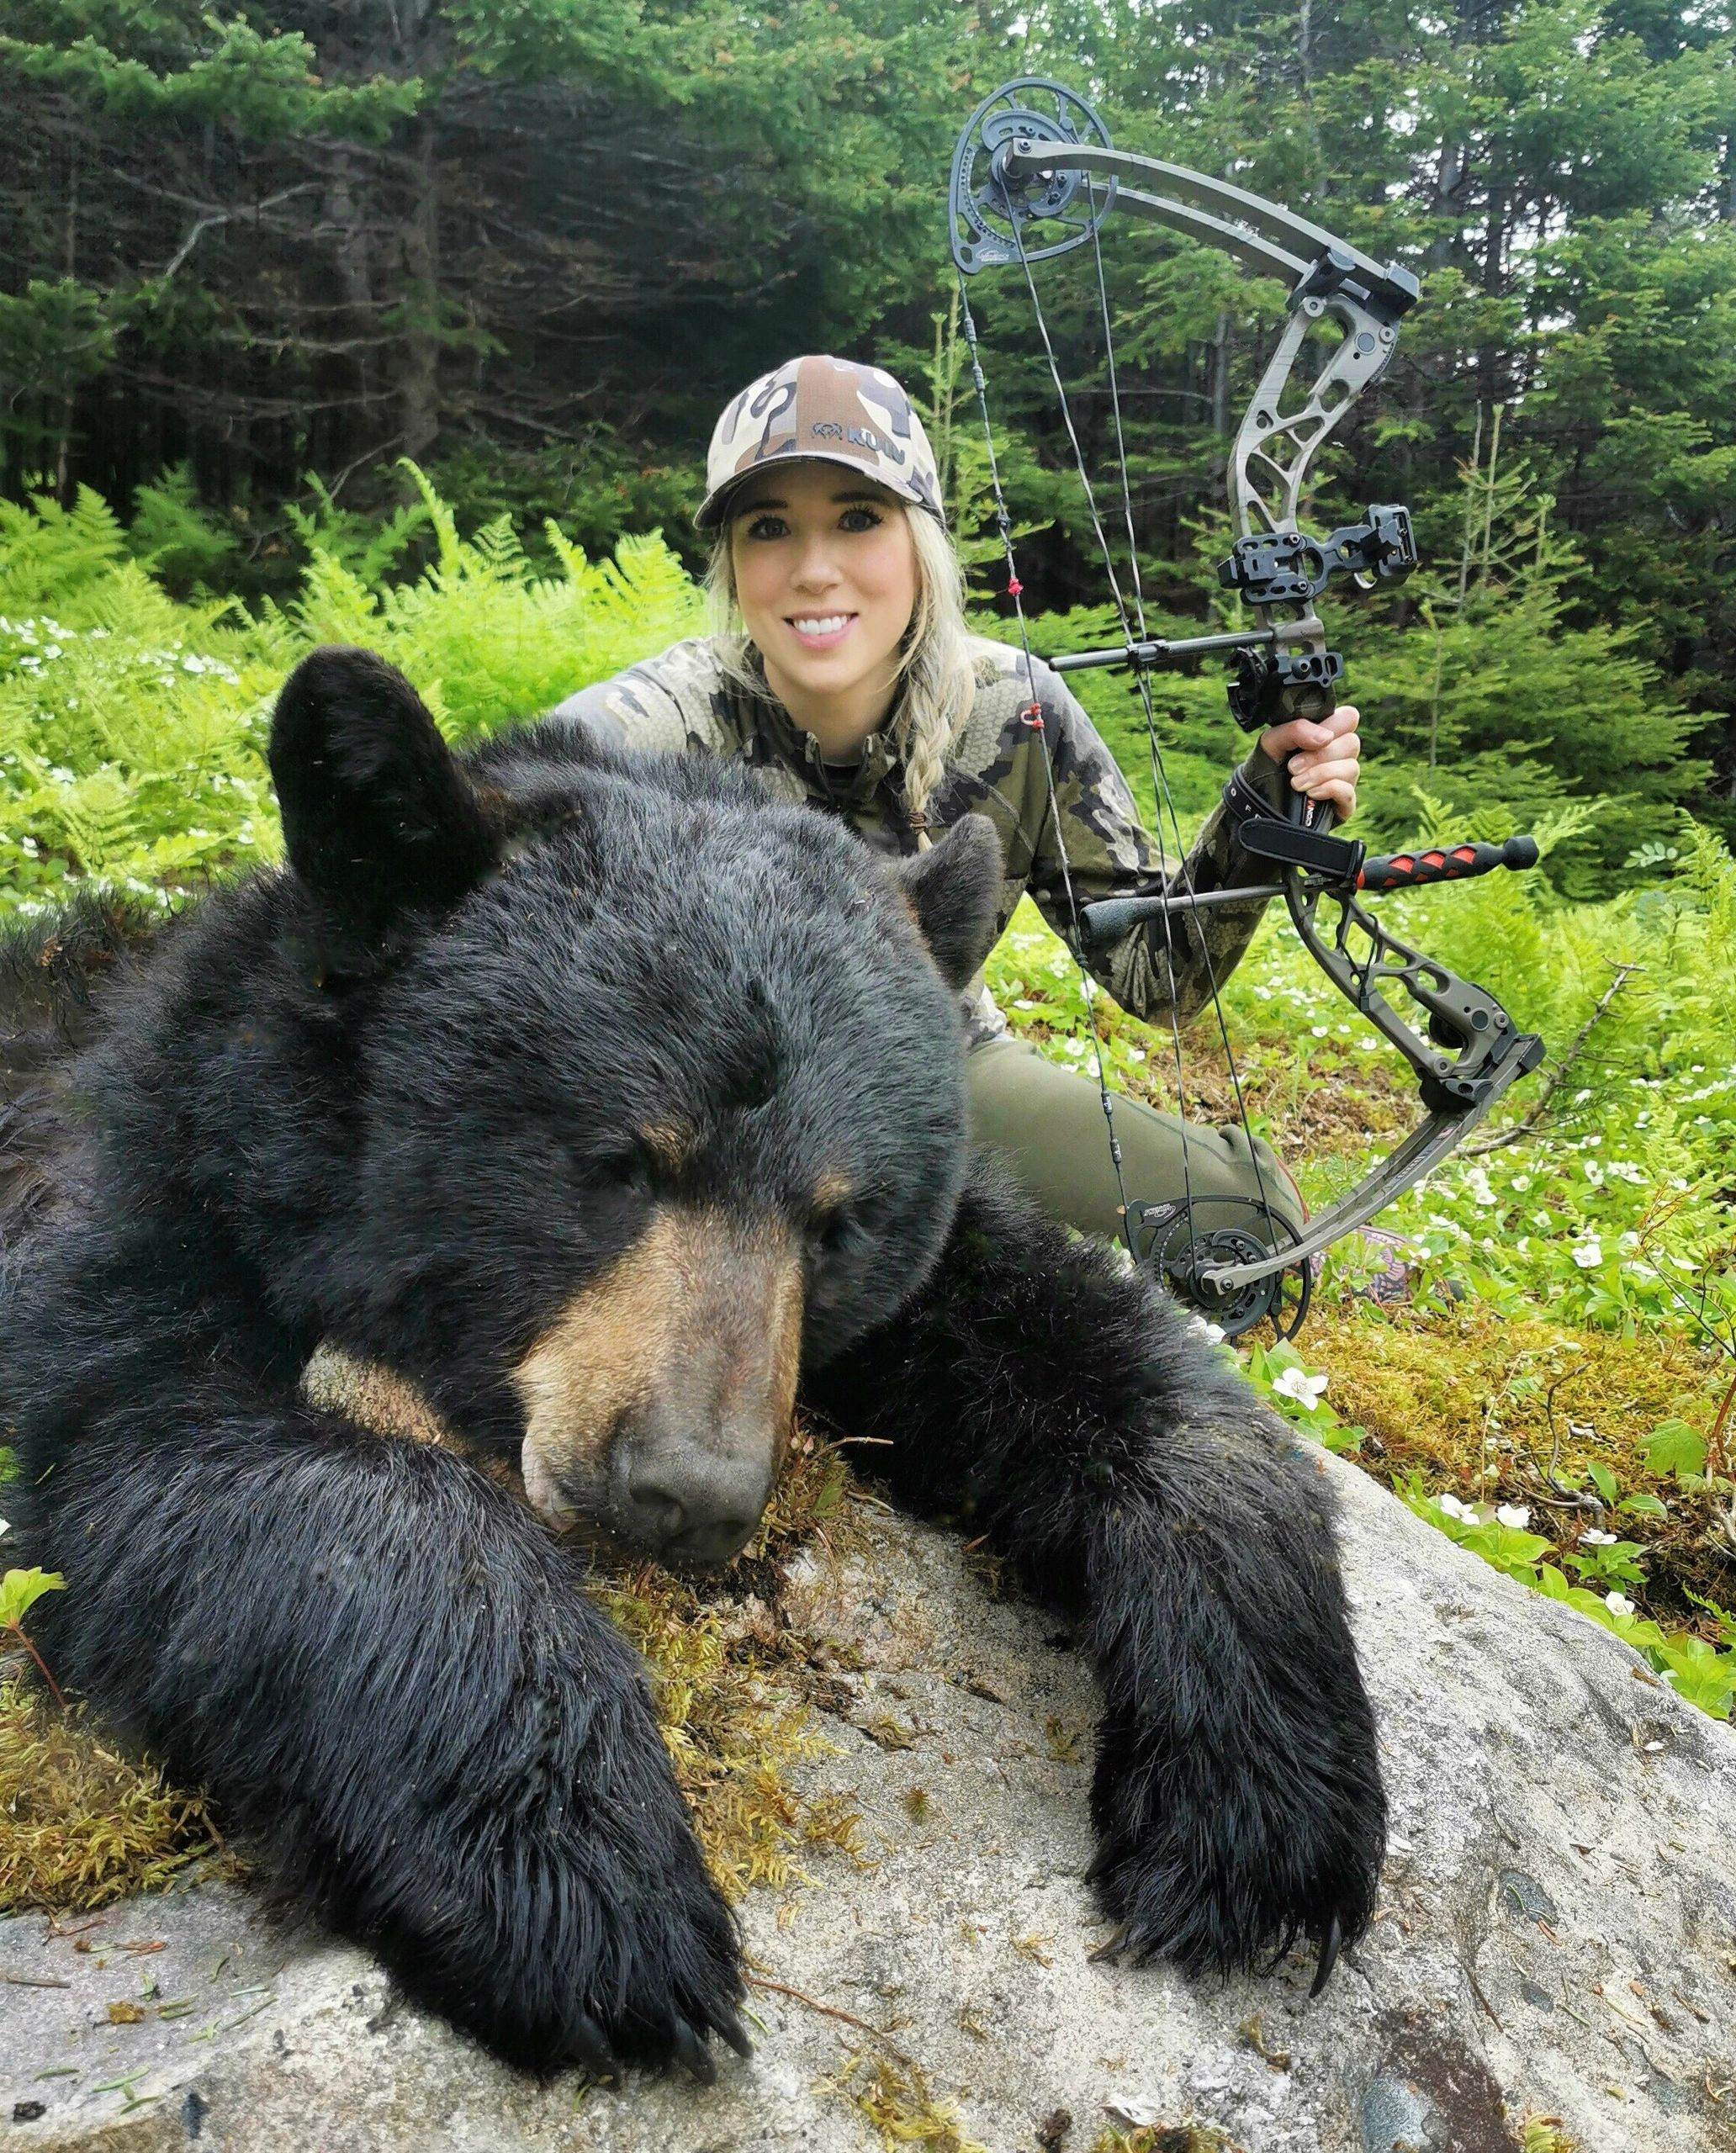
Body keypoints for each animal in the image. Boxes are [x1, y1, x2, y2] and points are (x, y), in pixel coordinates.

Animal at [0, 646, 1386, 2081]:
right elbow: (183, 1451)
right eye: (619, 1160)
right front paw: (576, 1875)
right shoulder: (151, 1191)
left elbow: (1102, 1360)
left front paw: (1257, 1812)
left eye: (841, 1220)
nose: (688, 1495)